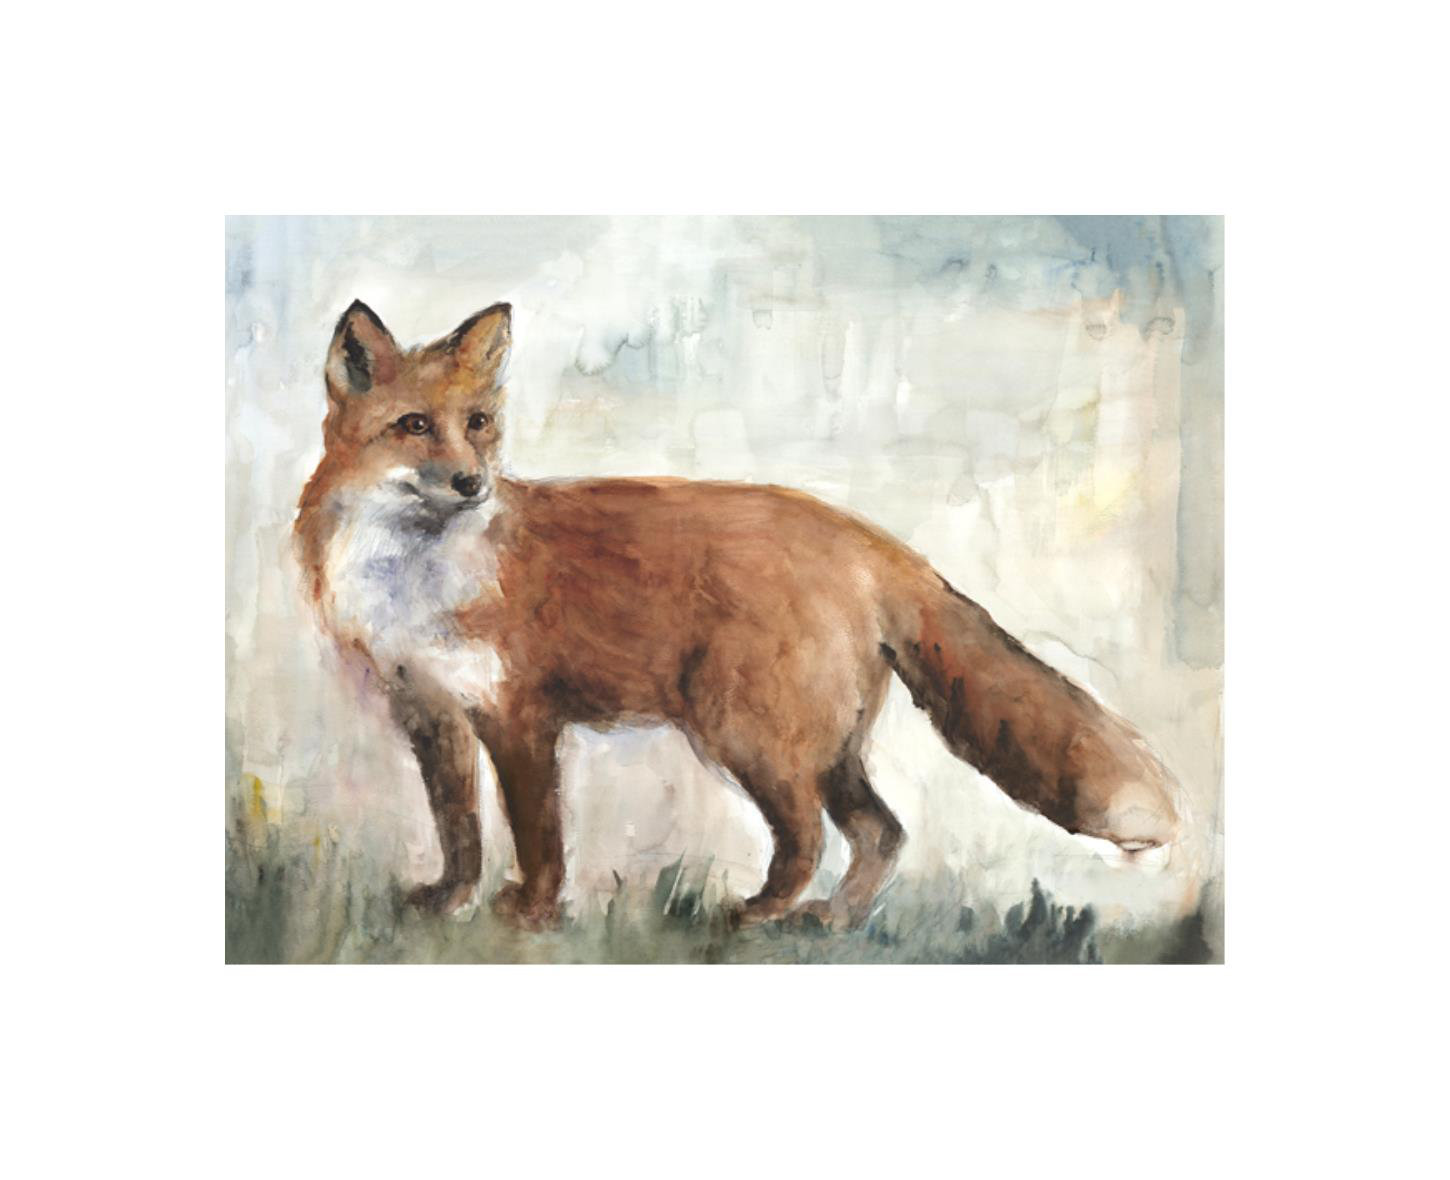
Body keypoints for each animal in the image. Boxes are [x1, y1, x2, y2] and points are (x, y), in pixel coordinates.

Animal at [295, 300, 1182, 931]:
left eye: (477, 425)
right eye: (414, 426)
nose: (473, 484)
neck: (416, 579)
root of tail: (868, 537)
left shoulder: (519, 717)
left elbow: (540, 835)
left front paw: (534, 916)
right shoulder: (429, 712)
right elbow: (458, 831)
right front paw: (450, 902)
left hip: (749, 737)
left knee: (812, 839)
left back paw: (758, 914)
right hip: (821, 750)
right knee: (882, 832)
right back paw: (832, 922)